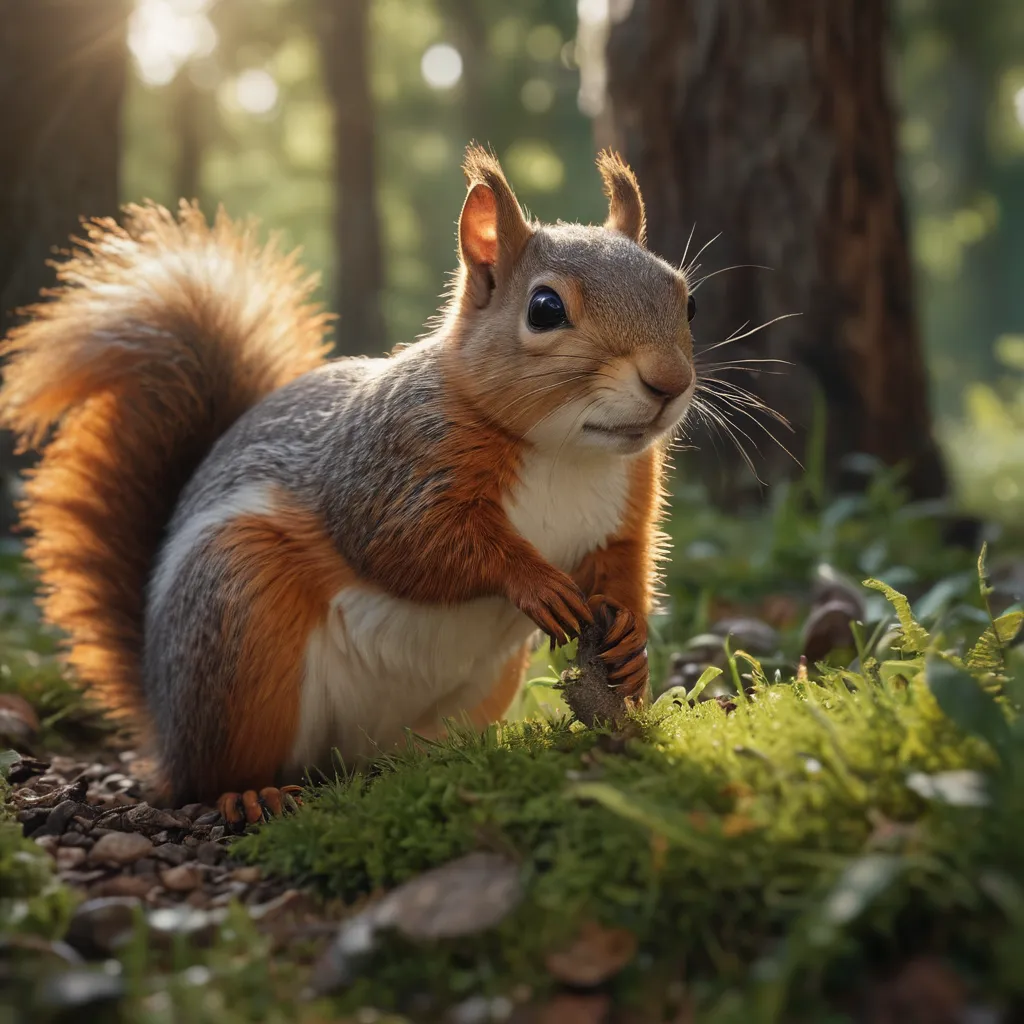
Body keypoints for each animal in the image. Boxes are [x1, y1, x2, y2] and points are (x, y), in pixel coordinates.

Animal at [0, 146, 696, 823]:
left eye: (686, 300)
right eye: (545, 309)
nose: (670, 382)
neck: (564, 451)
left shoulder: (625, 508)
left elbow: (625, 565)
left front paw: (632, 641)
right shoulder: (388, 466)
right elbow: (413, 544)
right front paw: (535, 580)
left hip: (473, 691)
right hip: (237, 618)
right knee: (210, 774)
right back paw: (249, 794)